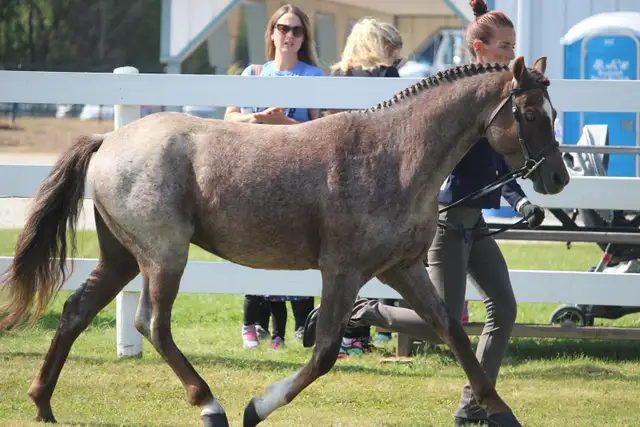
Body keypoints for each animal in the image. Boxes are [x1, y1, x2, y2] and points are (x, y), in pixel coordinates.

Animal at [0, 56, 569, 427]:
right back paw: (210, 405)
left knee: (76, 311)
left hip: (121, 256)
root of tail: (110, 138)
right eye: (531, 114)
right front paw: (256, 407)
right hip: (164, 255)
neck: (395, 155)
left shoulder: (403, 269)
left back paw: (42, 402)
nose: (557, 178)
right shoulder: (342, 270)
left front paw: (501, 412)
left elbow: (453, 331)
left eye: (555, 111)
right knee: (151, 325)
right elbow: (324, 353)